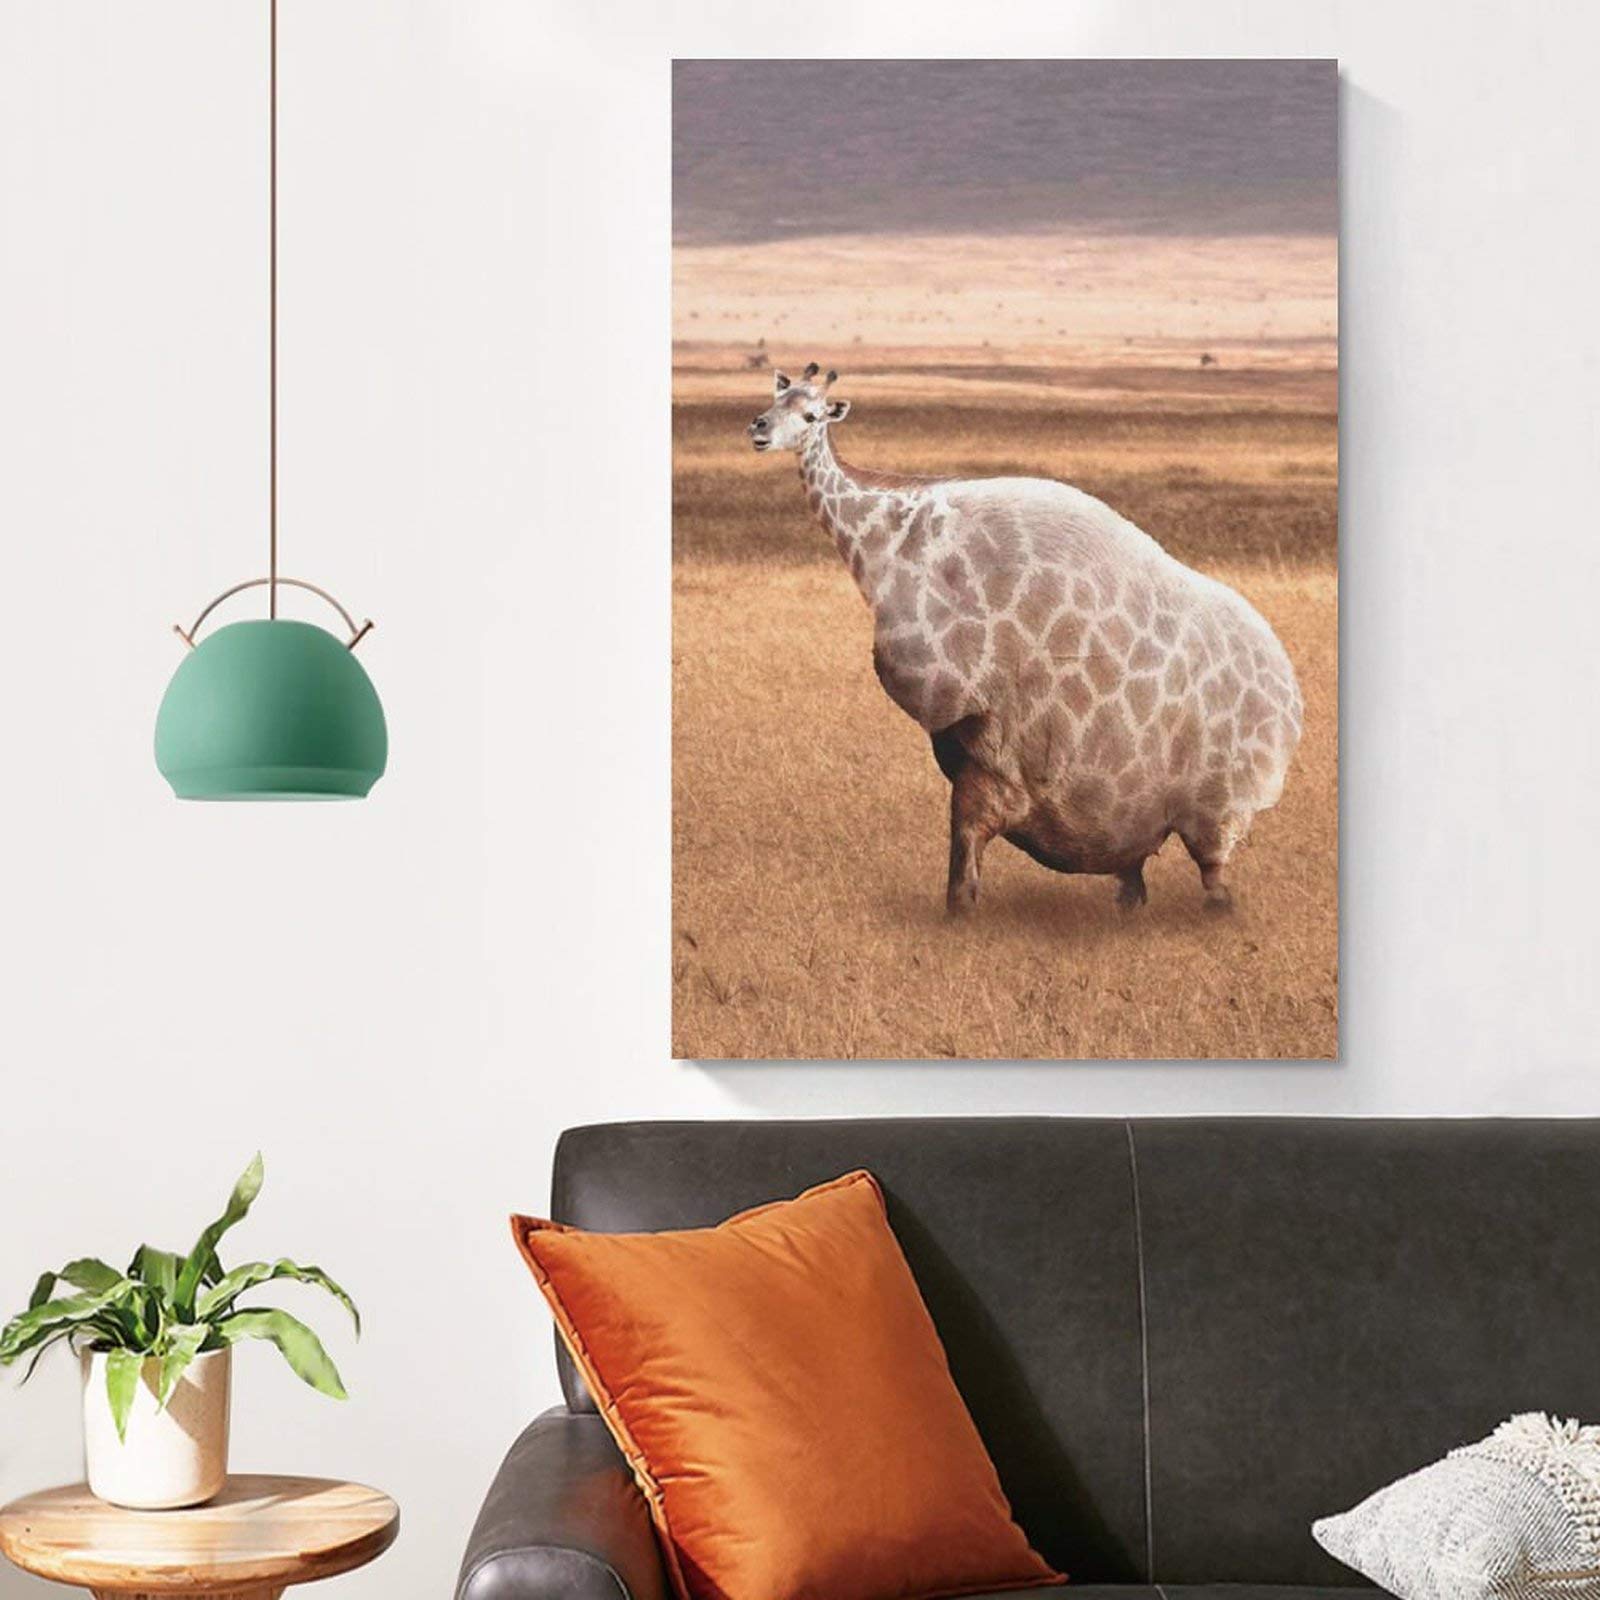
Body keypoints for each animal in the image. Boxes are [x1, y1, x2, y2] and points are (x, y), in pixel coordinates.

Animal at [748, 363, 1303, 917]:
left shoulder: (961, 701)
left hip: (1217, 808)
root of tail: (1290, 693)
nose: (758, 428)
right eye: (776, 398)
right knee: (1135, 879)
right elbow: (963, 879)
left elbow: (962, 883)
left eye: (812, 415)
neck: (892, 548)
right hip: (1143, 826)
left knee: (1216, 882)